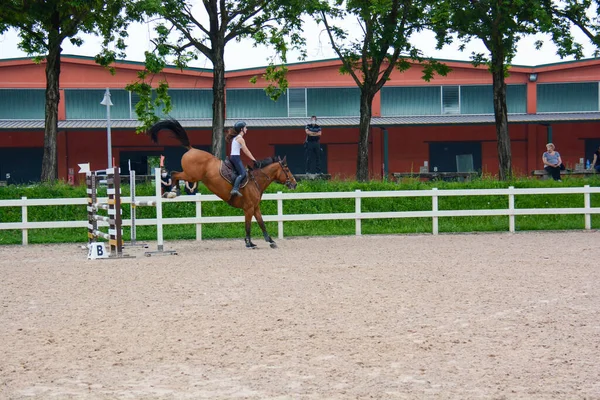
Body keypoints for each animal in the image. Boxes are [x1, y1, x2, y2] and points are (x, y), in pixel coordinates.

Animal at [148, 119, 298, 248]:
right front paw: (249, 243)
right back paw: (173, 192)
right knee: (174, 174)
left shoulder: (255, 208)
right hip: (191, 175)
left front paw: (270, 240)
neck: (256, 181)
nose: (295, 184)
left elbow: (262, 223)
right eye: (287, 169)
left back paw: (173, 192)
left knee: (175, 174)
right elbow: (248, 226)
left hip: (191, 176)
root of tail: (191, 149)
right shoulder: (248, 208)